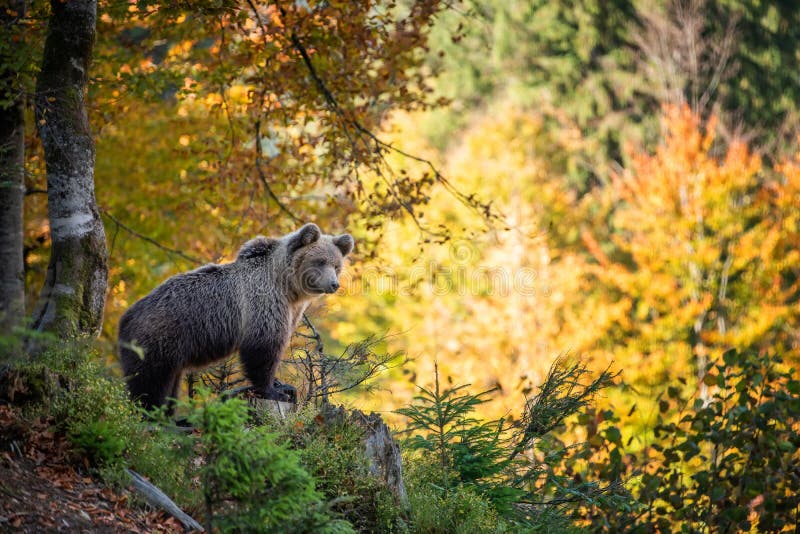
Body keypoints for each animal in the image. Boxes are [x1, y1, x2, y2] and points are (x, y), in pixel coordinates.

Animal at [117, 223, 354, 412]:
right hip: (158, 339)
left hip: (173, 354)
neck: (287, 287)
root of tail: (125, 318)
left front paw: (283, 385)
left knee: (170, 385)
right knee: (150, 383)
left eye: (336, 265)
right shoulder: (262, 303)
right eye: (320, 261)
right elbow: (263, 348)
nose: (334, 284)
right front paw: (274, 390)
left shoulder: (291, 310)